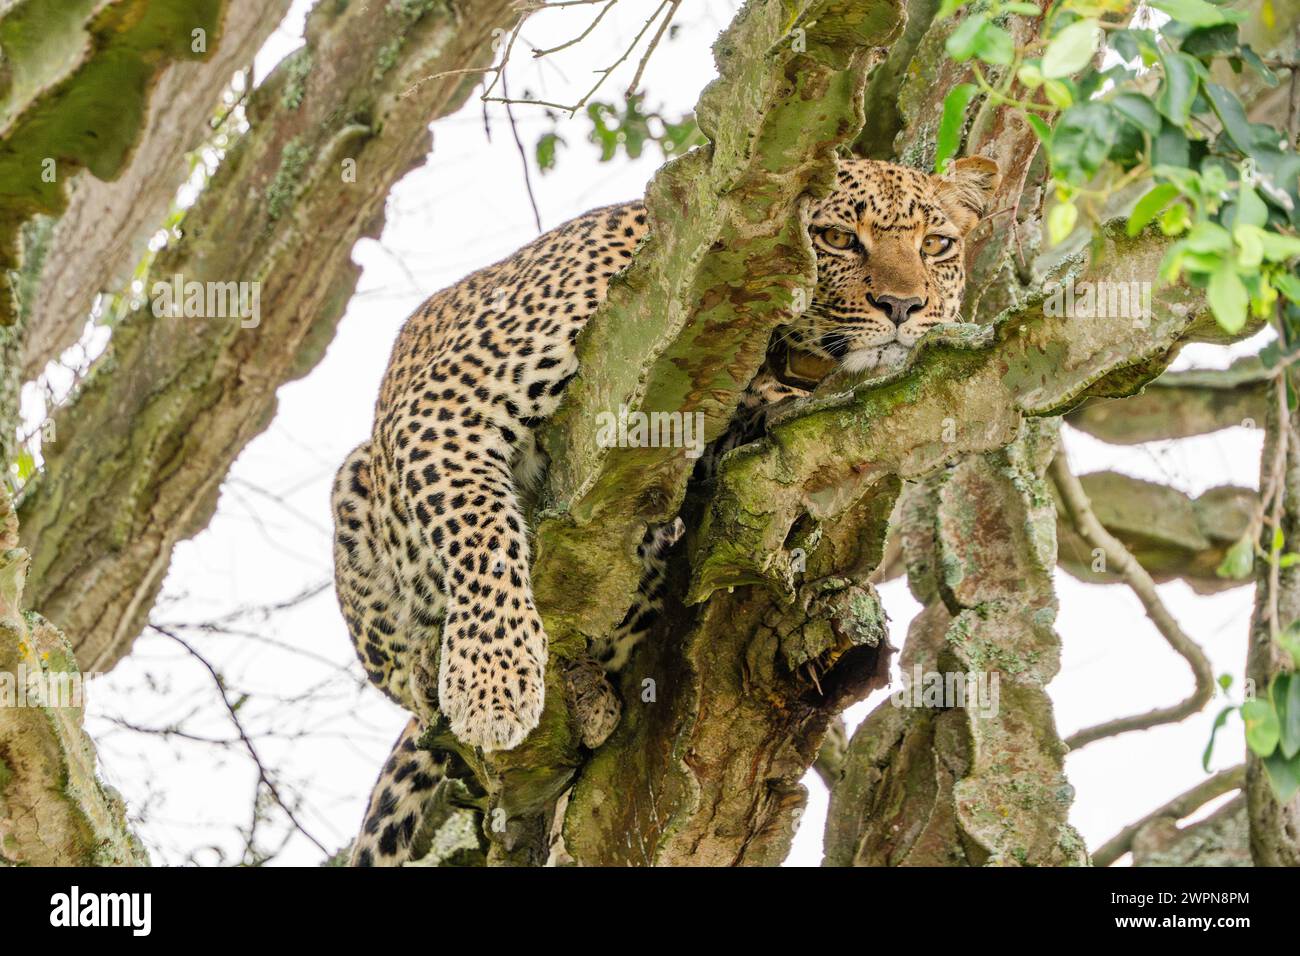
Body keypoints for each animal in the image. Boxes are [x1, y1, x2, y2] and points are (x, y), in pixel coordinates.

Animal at [331, 156, 1000, 865]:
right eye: (838, 238)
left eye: (937, 245)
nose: (904, 307)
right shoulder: (448, 402)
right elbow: (481, 527)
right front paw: (492, 680)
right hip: (356, 485)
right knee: (407, 672)